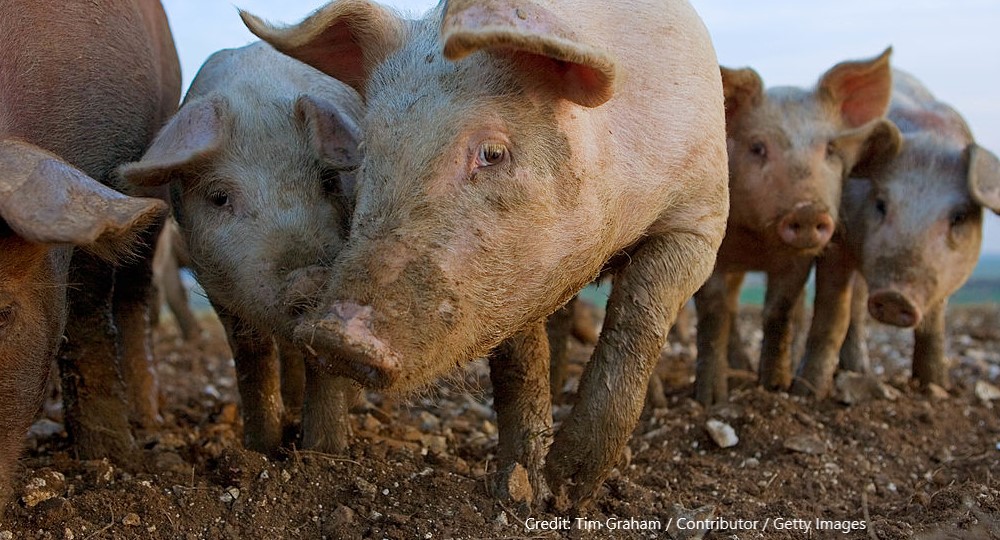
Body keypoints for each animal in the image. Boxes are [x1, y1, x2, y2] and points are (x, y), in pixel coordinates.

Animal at [120, 42, 363, 454]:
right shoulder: (218, 284)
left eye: (329, 181)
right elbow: (252, 358)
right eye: (219, 197)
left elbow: (324, 366)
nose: (310, 277)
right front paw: (261, 449)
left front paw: (324, 452)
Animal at [243, 0, 729, 509]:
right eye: (367, 149)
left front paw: (566, 490)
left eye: (492, 153)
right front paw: (520, 490)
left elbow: (637, 321)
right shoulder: (511, 280)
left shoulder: (703, 216)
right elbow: (517, 364)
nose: (337, 336)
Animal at [694, 50, 899, 405]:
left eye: (830, 149)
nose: (807, 209)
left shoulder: (798, 260)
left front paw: (776, 387)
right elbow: (713, 313)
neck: (757, 242)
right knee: (731, 308)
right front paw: (709, 399)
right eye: (757, 147)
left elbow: (780, 311)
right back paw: (739, 369)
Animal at [793, 69, 1000, 398]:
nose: (894, 297)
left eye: (959, 217)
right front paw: (804, 392)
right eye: (880, 203)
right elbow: (832, 315)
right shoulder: (837, 241)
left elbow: (934, 326)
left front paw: (936, 387)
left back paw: (859, 372)